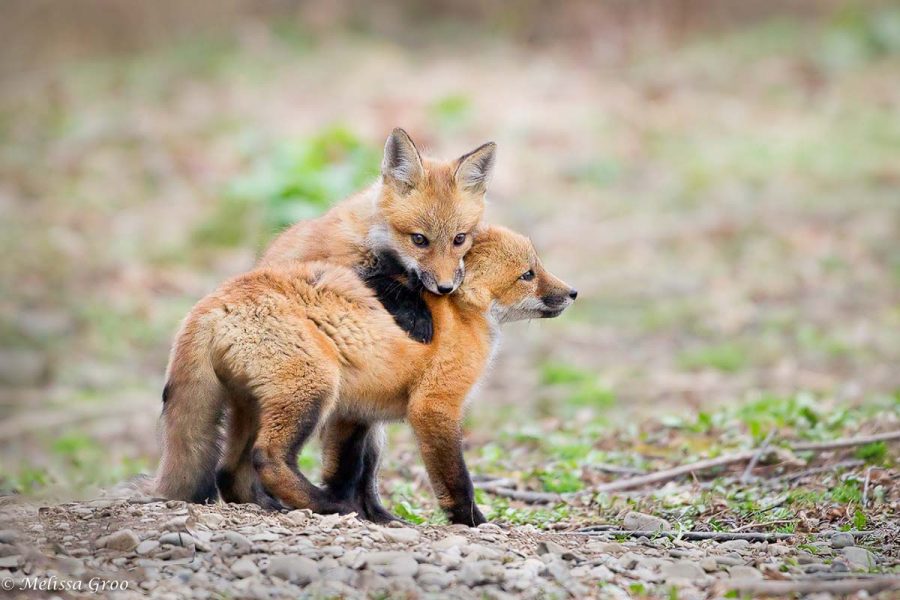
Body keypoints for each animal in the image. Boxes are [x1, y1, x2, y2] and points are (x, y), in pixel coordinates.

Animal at [154, 225, 577, 525]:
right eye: (528, 274)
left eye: (537, 268)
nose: (573, 292)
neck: (459, 312)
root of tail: (212, 302)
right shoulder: (433, 407)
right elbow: (456, 479)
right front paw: (473, 521)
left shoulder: (357, 412)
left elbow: (354, 470)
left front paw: (375, 517)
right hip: (311, 391)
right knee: (267, 459)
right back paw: (323, 505)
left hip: (256, 407)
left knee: (230, 471)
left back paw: (274, 506)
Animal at [260, 128, 497, 344]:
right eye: (419, 239)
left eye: (459, 239)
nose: (445, 288)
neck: (374, 240)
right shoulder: (317, 265)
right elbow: (379, 281)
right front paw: (416, 316)